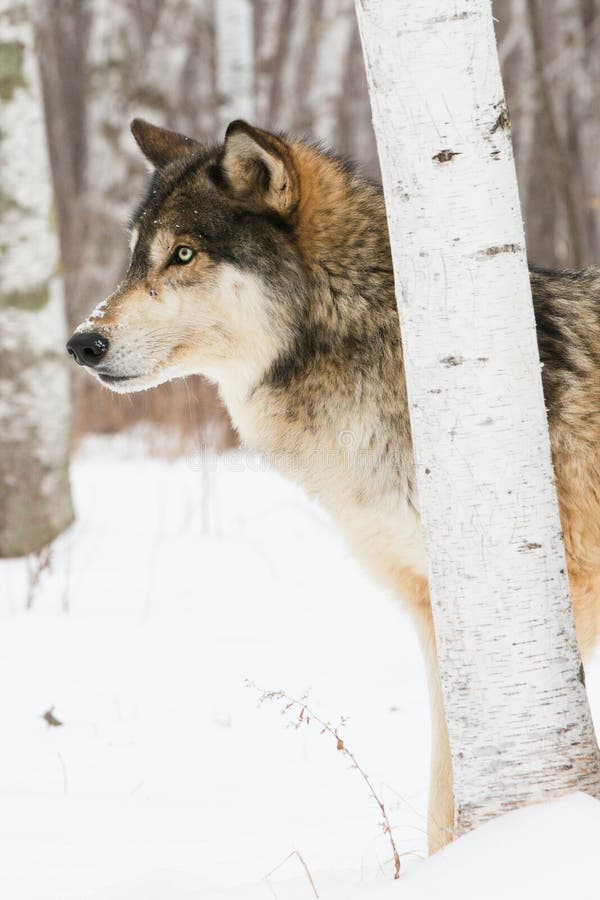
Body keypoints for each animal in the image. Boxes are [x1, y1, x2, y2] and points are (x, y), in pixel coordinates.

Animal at [67, 119, 600, 853]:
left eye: (183, 254)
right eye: (135, 259)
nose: (81, 343)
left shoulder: (565, 599)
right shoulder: (436, 612)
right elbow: (444, 794)